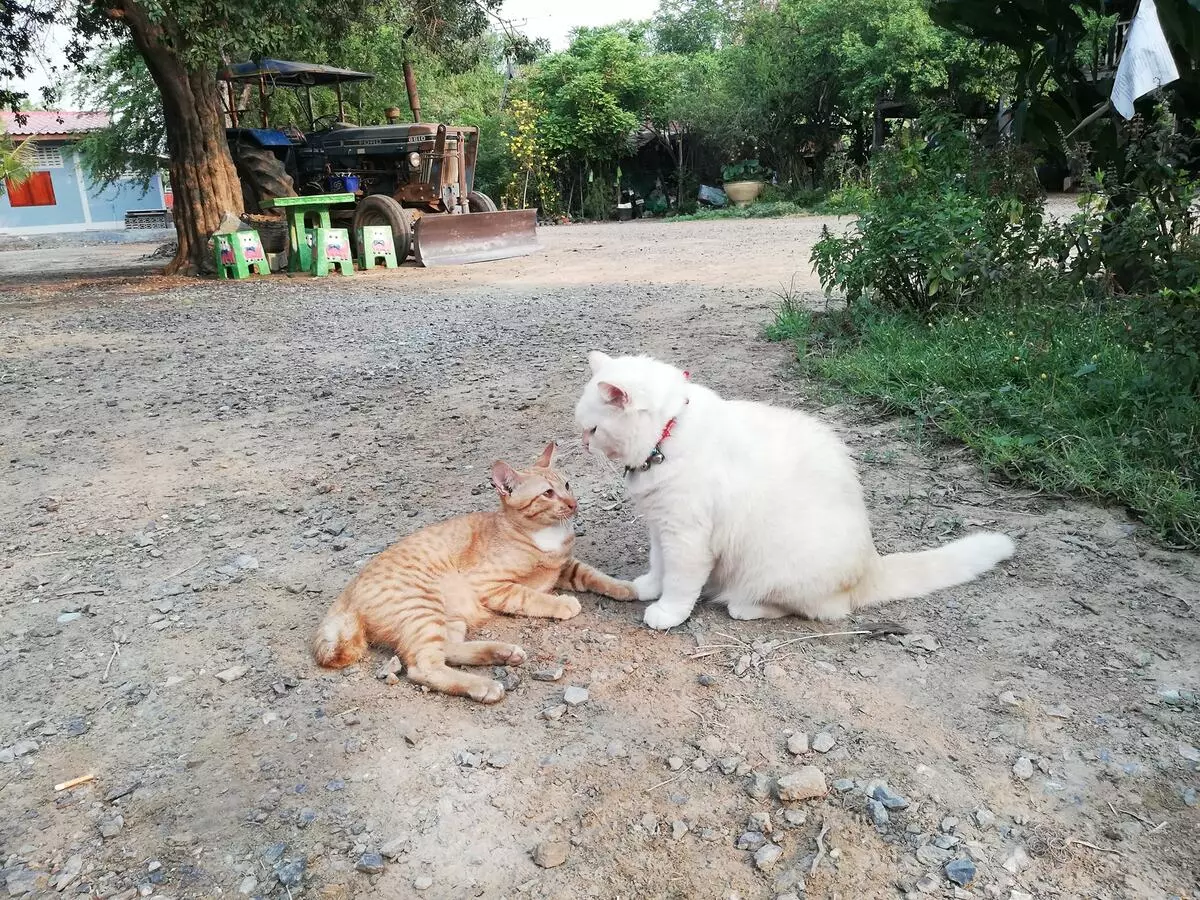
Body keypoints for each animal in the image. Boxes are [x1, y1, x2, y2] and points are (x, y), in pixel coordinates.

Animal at [309, 444, 638, 705]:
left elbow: (595, 575)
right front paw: (561, 603)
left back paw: (502, 653)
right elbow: (529, 595)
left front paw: (626, 587)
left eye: (568, 485)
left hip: (447, 617)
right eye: (547, 493)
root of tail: (347, 594)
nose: (573, 504)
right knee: (423, 665)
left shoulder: (565, 567)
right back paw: (484, 685)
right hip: (423, 607)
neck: (546, 536)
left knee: (446, 648)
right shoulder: (491, 584)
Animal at [571, 355, 1012, 633]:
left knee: (818, 610)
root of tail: (872, 563)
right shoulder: (660, 527)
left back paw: (743, 606)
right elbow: (658, 565)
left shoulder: (686, 536)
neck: (664, 439)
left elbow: (680, 581)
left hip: (775, 569)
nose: (582, 444)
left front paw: (667, 612)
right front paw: (648, 587)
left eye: (593, 430)